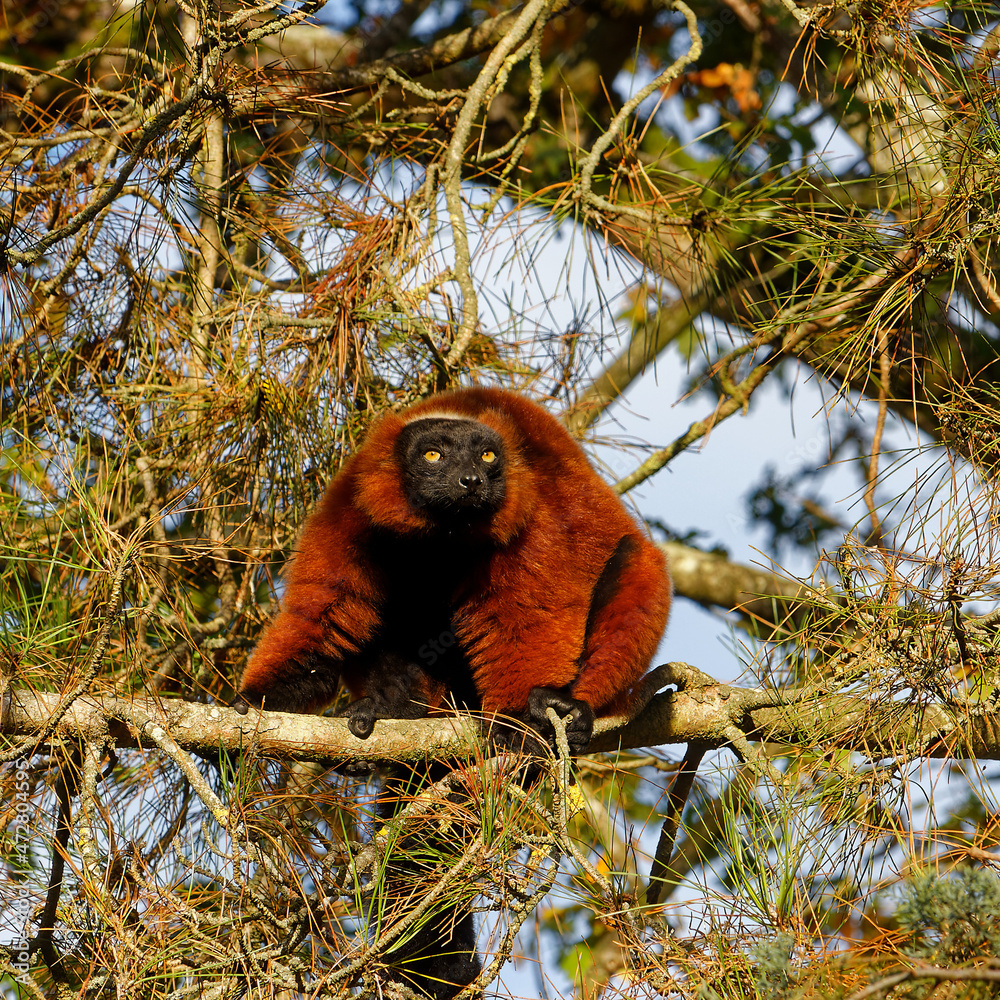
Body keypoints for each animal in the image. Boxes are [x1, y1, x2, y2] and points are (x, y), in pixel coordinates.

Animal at [232, 386, 672, 997]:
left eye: (487, 457)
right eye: (434, 455)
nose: (471, 482)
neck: (442, 536)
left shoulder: (529, 514)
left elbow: (532, 612)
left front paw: (529, 713)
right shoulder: (350, 510)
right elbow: (322, 619)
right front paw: (259, 700)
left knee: (636, 559)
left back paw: (574, 710)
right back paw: (393, 711)